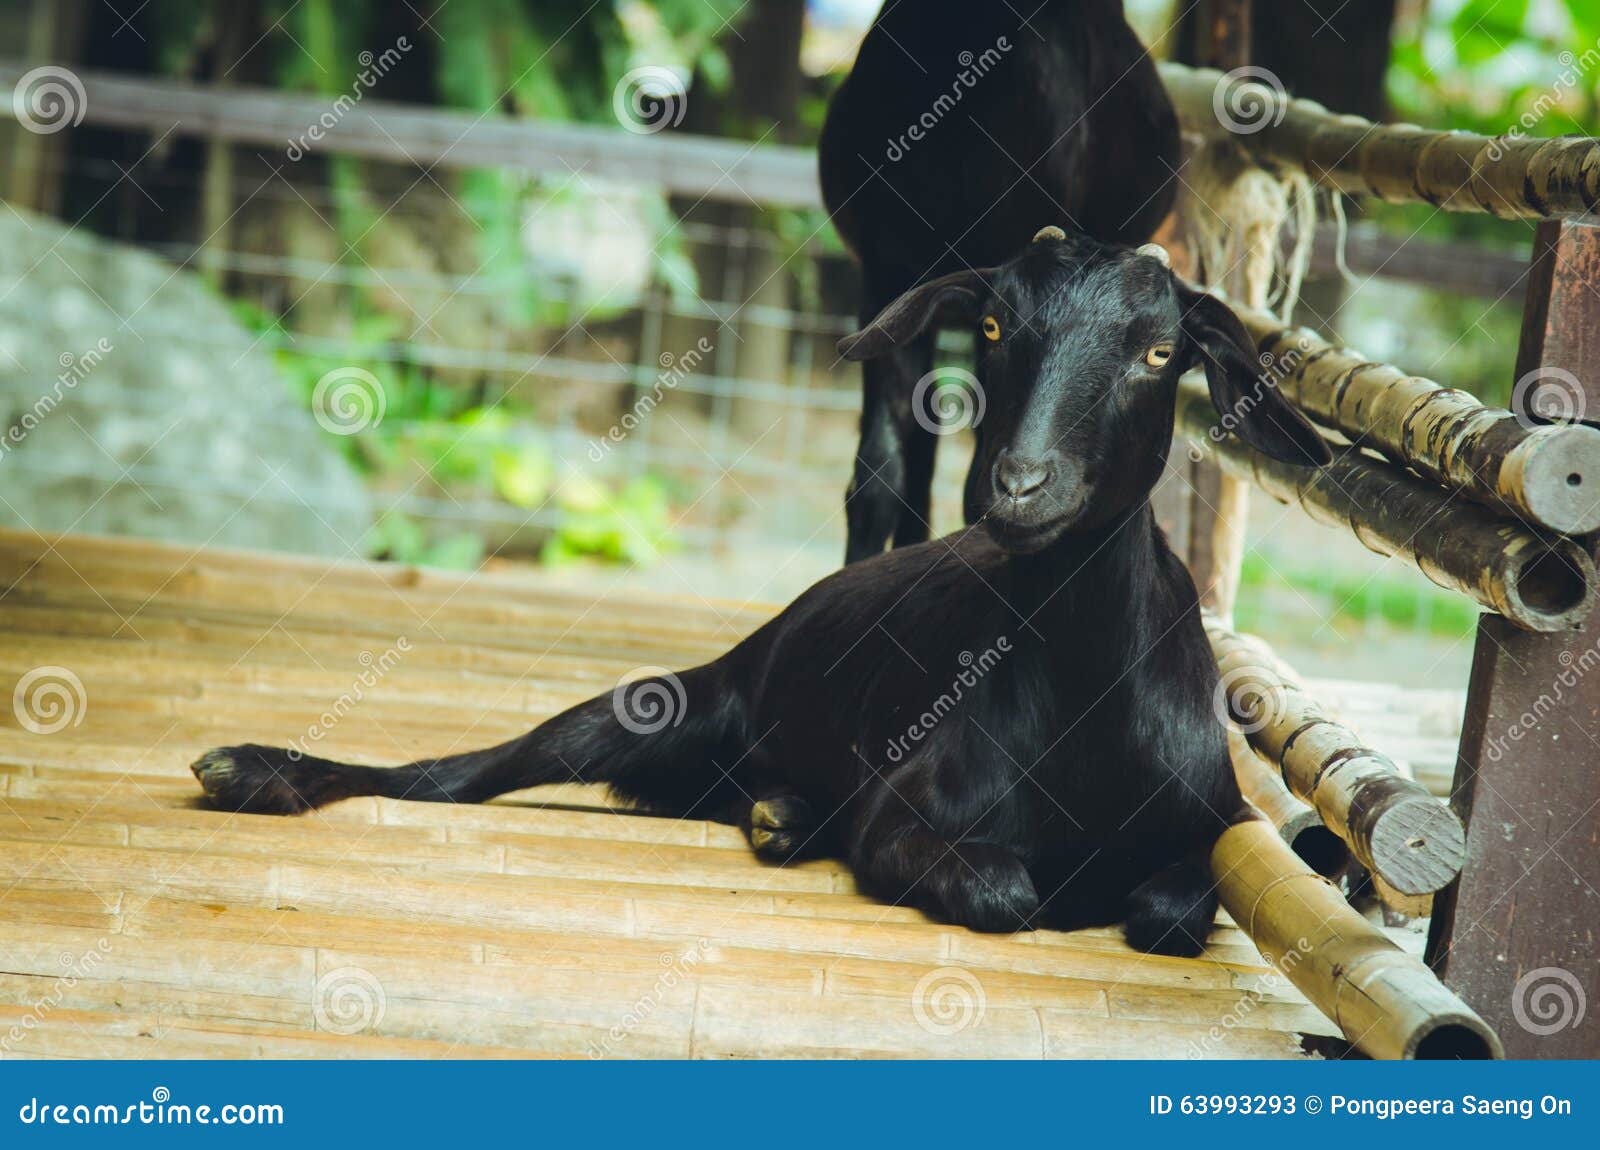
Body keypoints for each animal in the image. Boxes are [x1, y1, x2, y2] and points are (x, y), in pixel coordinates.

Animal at [192, 230, 1329, 955]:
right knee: (465, 770)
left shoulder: (1209, 828)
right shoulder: (900, 820)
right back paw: (250, 767)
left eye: (1158, 351)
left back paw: (781, 815)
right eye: (996, 329)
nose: (1017, 486)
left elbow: (1171, 910)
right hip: (660, 706)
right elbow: (1002, 885)